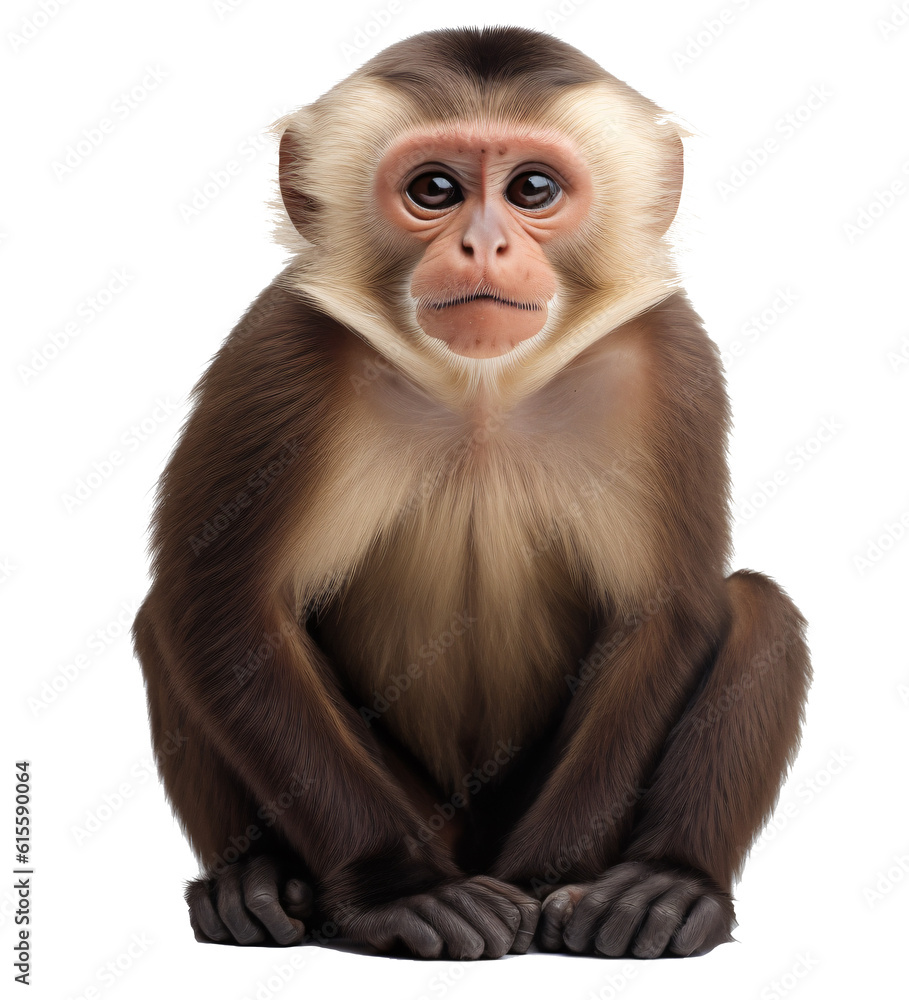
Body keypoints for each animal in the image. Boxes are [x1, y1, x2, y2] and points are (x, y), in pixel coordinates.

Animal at [133, 26, 810, 960]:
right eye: (434, 189)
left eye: (531, 189)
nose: (482, 247)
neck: (483, 391)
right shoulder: (279, 351)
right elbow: (222, 612)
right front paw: (399, 891)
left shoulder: (666, 361)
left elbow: (664, 614)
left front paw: (552, 881)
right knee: (164, 620)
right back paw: (257, 883)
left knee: (756, 608)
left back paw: (669, 885)